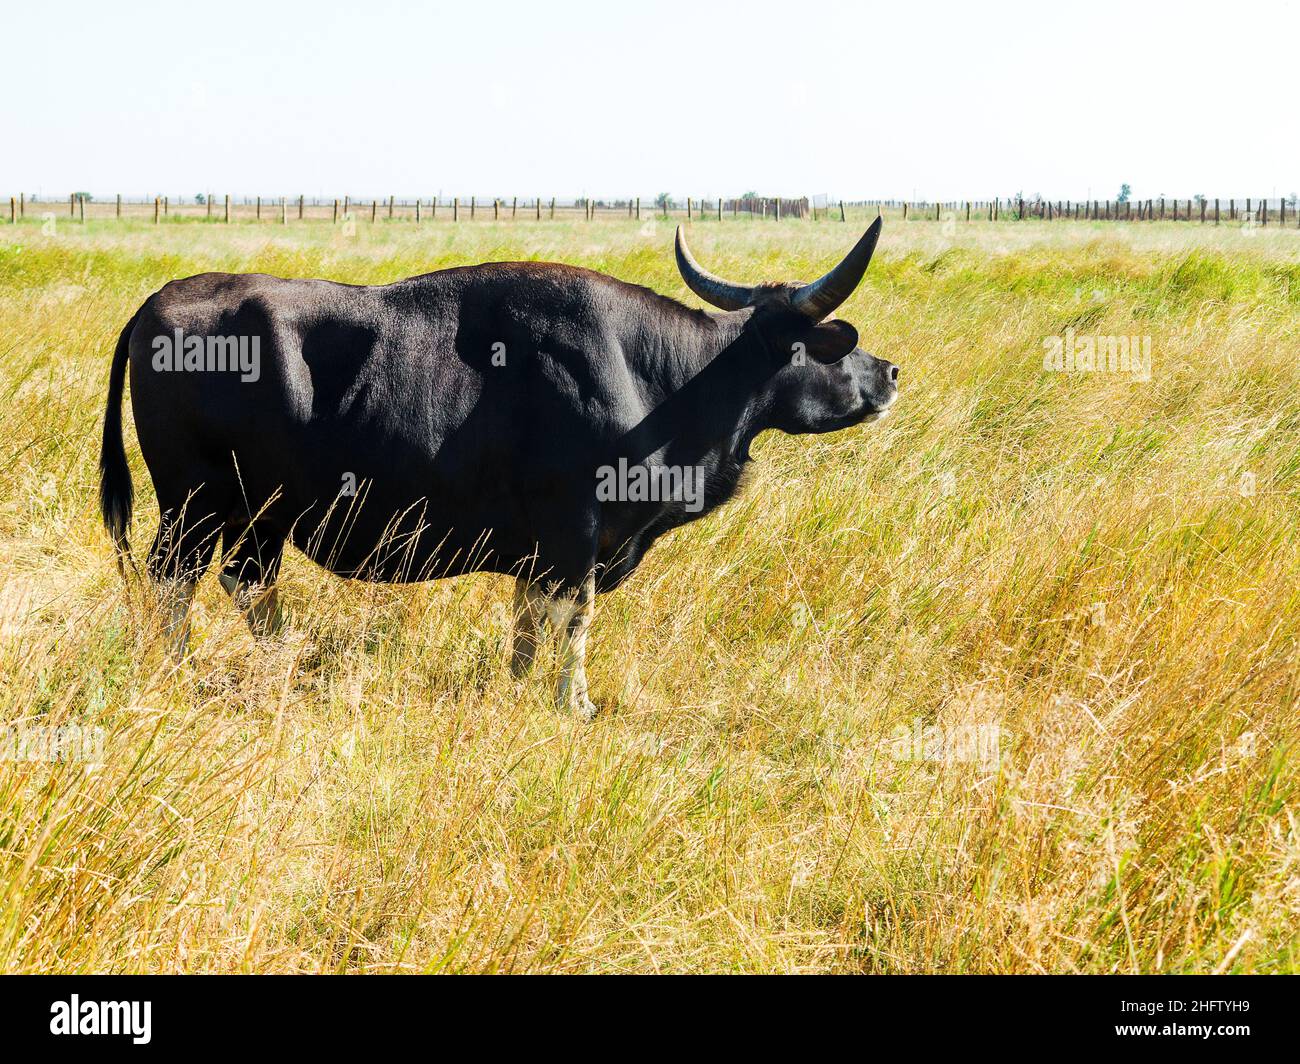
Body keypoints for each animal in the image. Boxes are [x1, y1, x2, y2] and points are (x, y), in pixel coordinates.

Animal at [99, 220, 898, 718]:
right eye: (819, 347)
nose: (889, 372)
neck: (659, 377)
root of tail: (155, 304)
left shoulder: (543, 551)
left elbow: (528, 619)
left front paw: (517, 684)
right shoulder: (577, 532)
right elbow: (577, 618)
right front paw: (575, 703)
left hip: (258, 516)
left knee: (248, 584)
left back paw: (291, 670)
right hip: (195, 506)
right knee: (175, 582)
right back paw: (181, 672)